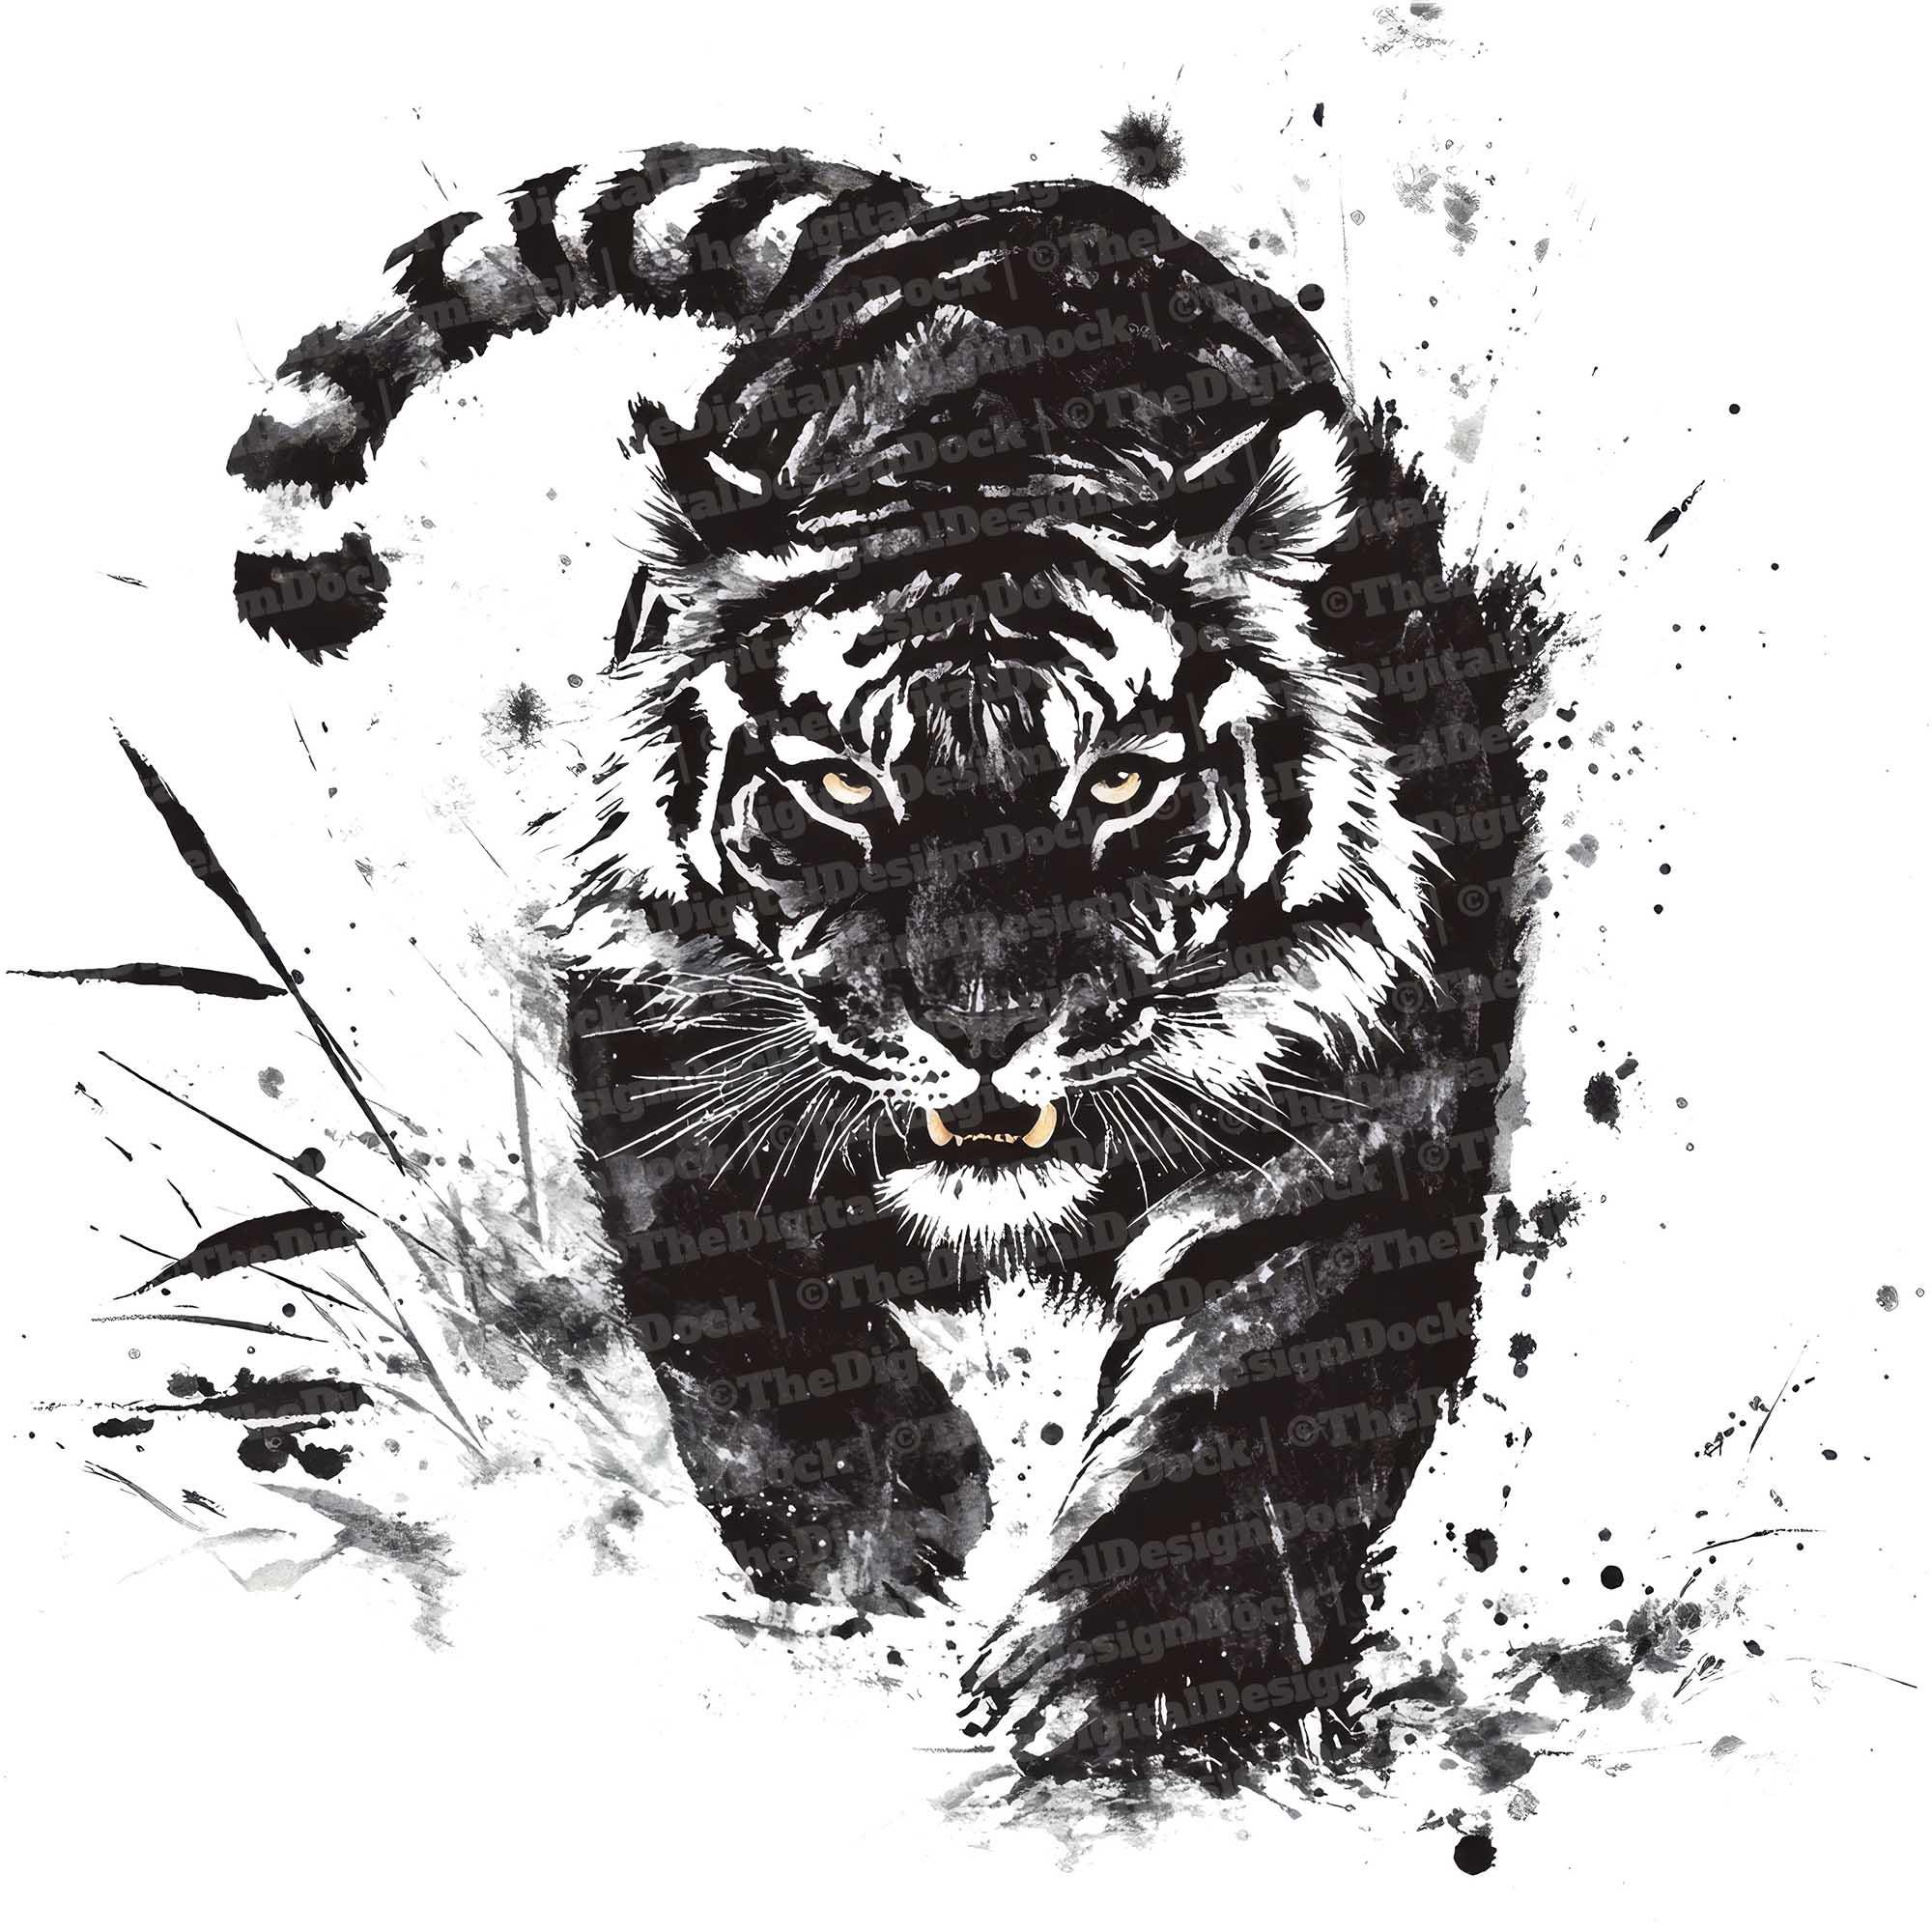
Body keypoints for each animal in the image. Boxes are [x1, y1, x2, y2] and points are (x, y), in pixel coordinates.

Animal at [228, 141, 1555, 1793]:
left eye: (1122, 784)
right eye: (842, 787)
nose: (985, 1025)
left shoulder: (1347, 1119)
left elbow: (1237, 1405)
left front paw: (1129, 1690)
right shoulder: (666, 1056)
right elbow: (751, 1323)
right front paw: (871, 1553)